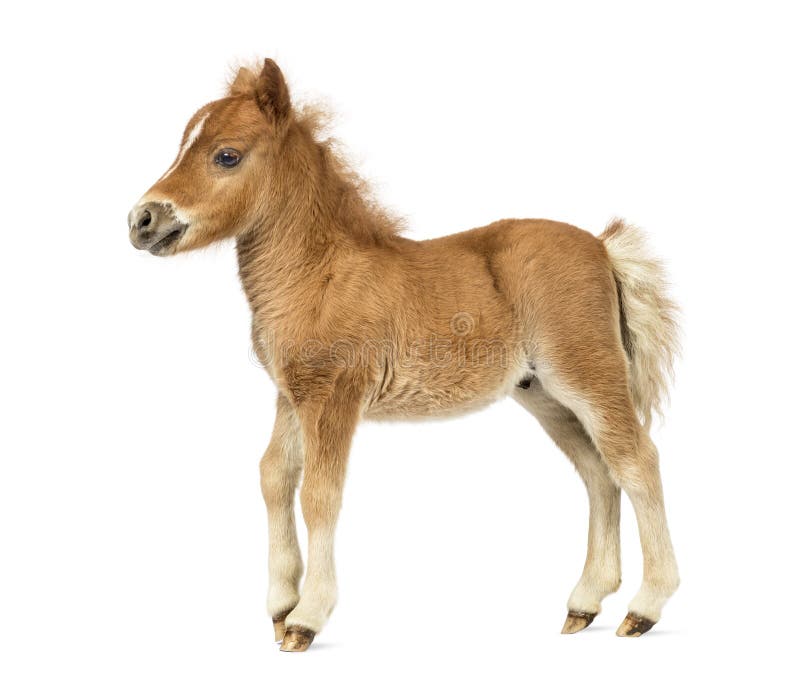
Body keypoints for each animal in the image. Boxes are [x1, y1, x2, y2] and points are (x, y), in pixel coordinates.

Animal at [128, 58, 680, 652]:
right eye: (181, 145)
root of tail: (602, 246)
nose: (141, 221)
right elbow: (274, 476)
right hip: (544, 395)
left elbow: (320, 493)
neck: (319, 274)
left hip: (588, 374)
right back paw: (584, 603)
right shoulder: (293, 394)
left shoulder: (335, 395)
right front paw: (279, 607)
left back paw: (644, 608)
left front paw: (306, 618)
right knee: (599, 472)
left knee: (636, 461)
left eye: (226, 155)